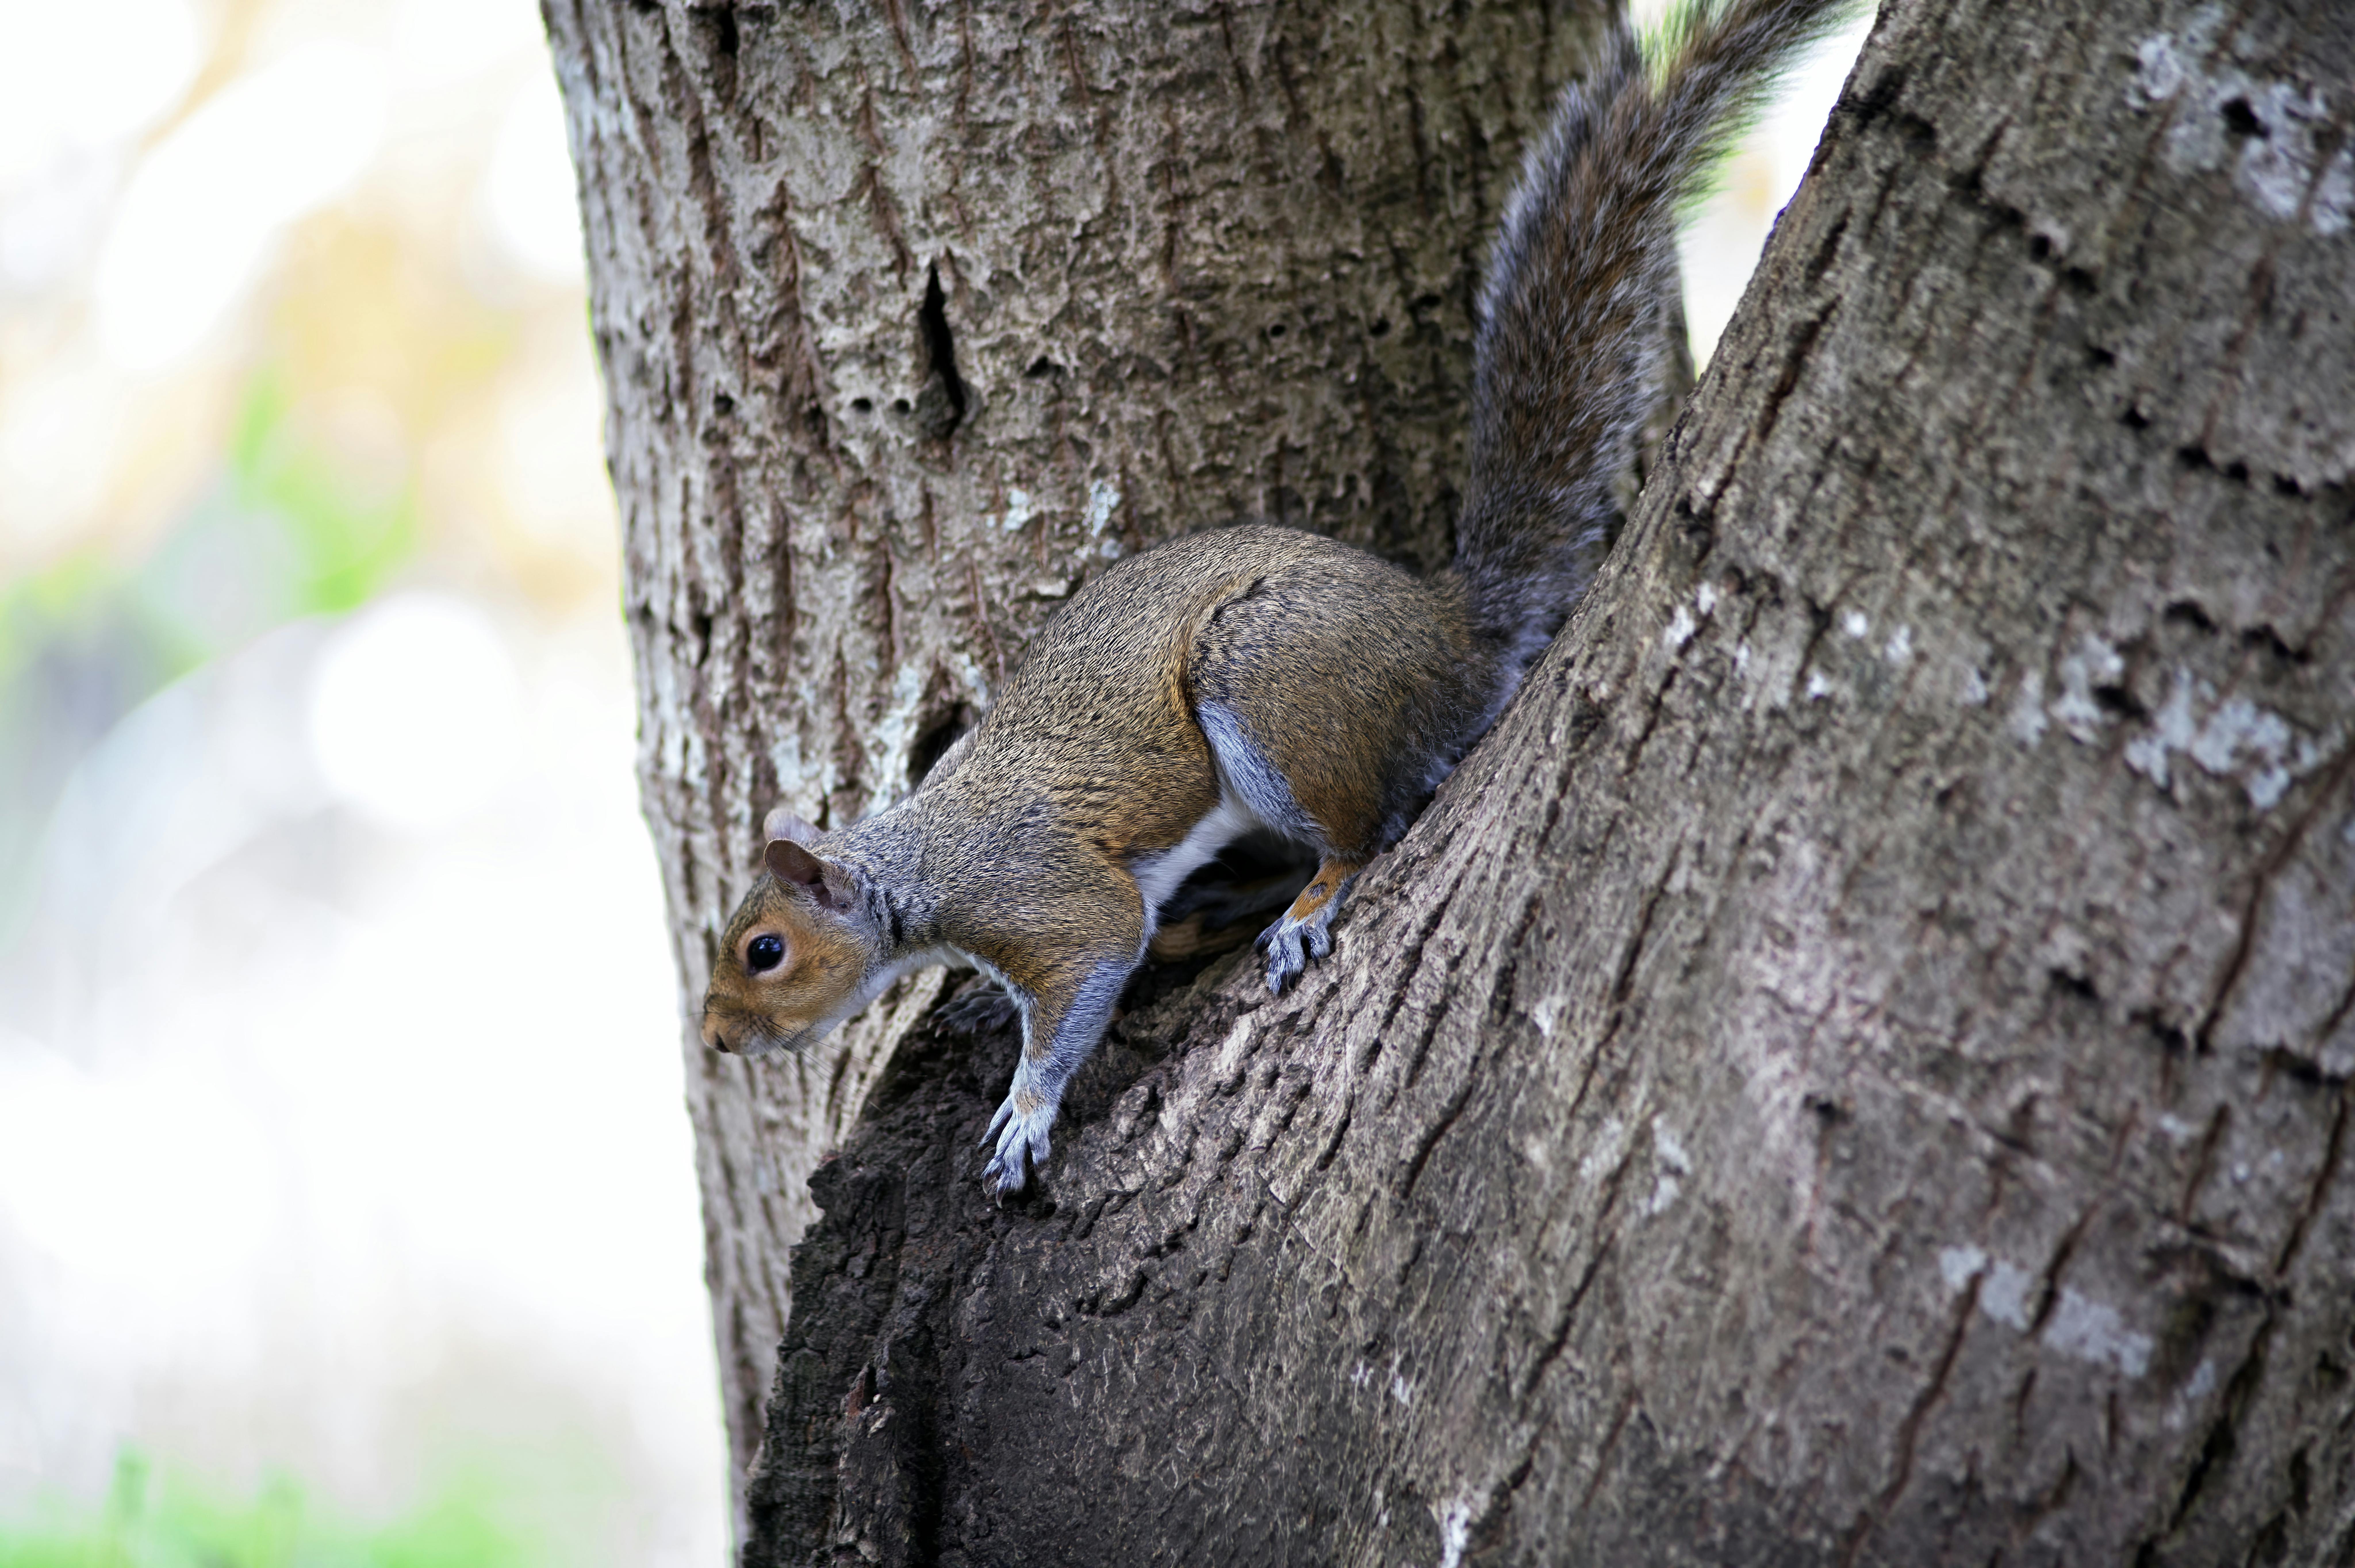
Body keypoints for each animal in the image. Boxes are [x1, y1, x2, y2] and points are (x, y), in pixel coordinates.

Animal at [700, 0, 1856, 1198]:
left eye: (765, 950)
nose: (718, 1040)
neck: (916, 866)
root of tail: (1449, 637)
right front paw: (982, 1015)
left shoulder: (1042, 896)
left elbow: (1094, 963)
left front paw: (1024, 1109)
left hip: (1271, 690)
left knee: (1362, 832)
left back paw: (1306, 907)